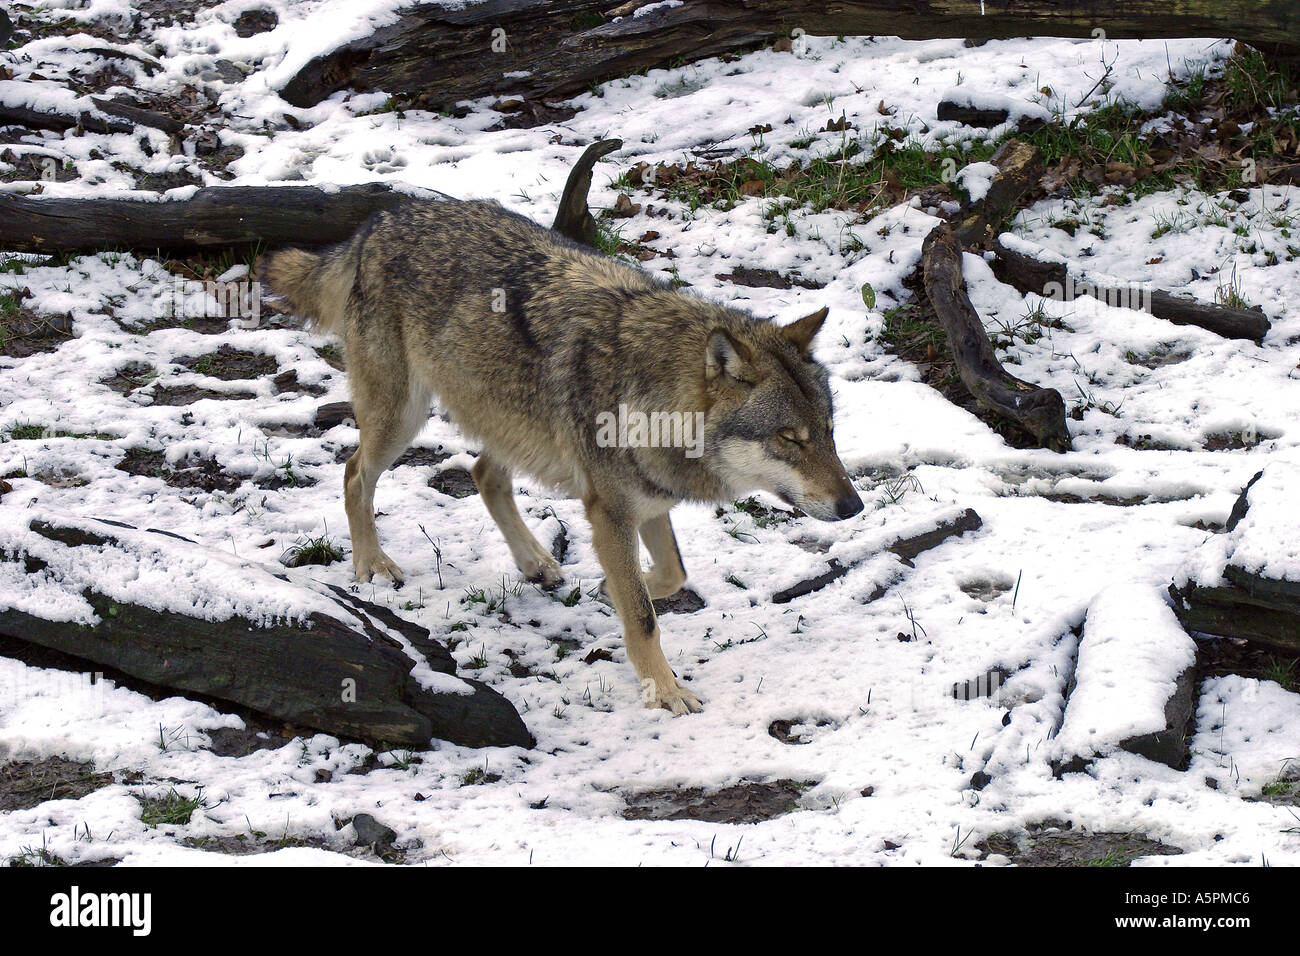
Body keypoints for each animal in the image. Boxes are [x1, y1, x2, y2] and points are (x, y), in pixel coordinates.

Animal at [264, 198, 863, 715]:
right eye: (790, 439)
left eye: (829, 432)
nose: (854, 507)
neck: (650, 389)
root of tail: (383, 219)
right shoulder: (610, 509)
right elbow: (645, 617)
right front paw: (666, 691)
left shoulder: (644, 499)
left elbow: (672, 574)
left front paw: (609, 588)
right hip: (402, 418)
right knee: (353, 474)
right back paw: (371, 563)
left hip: (504, 418)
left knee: (482, 473)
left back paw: (535, 561)